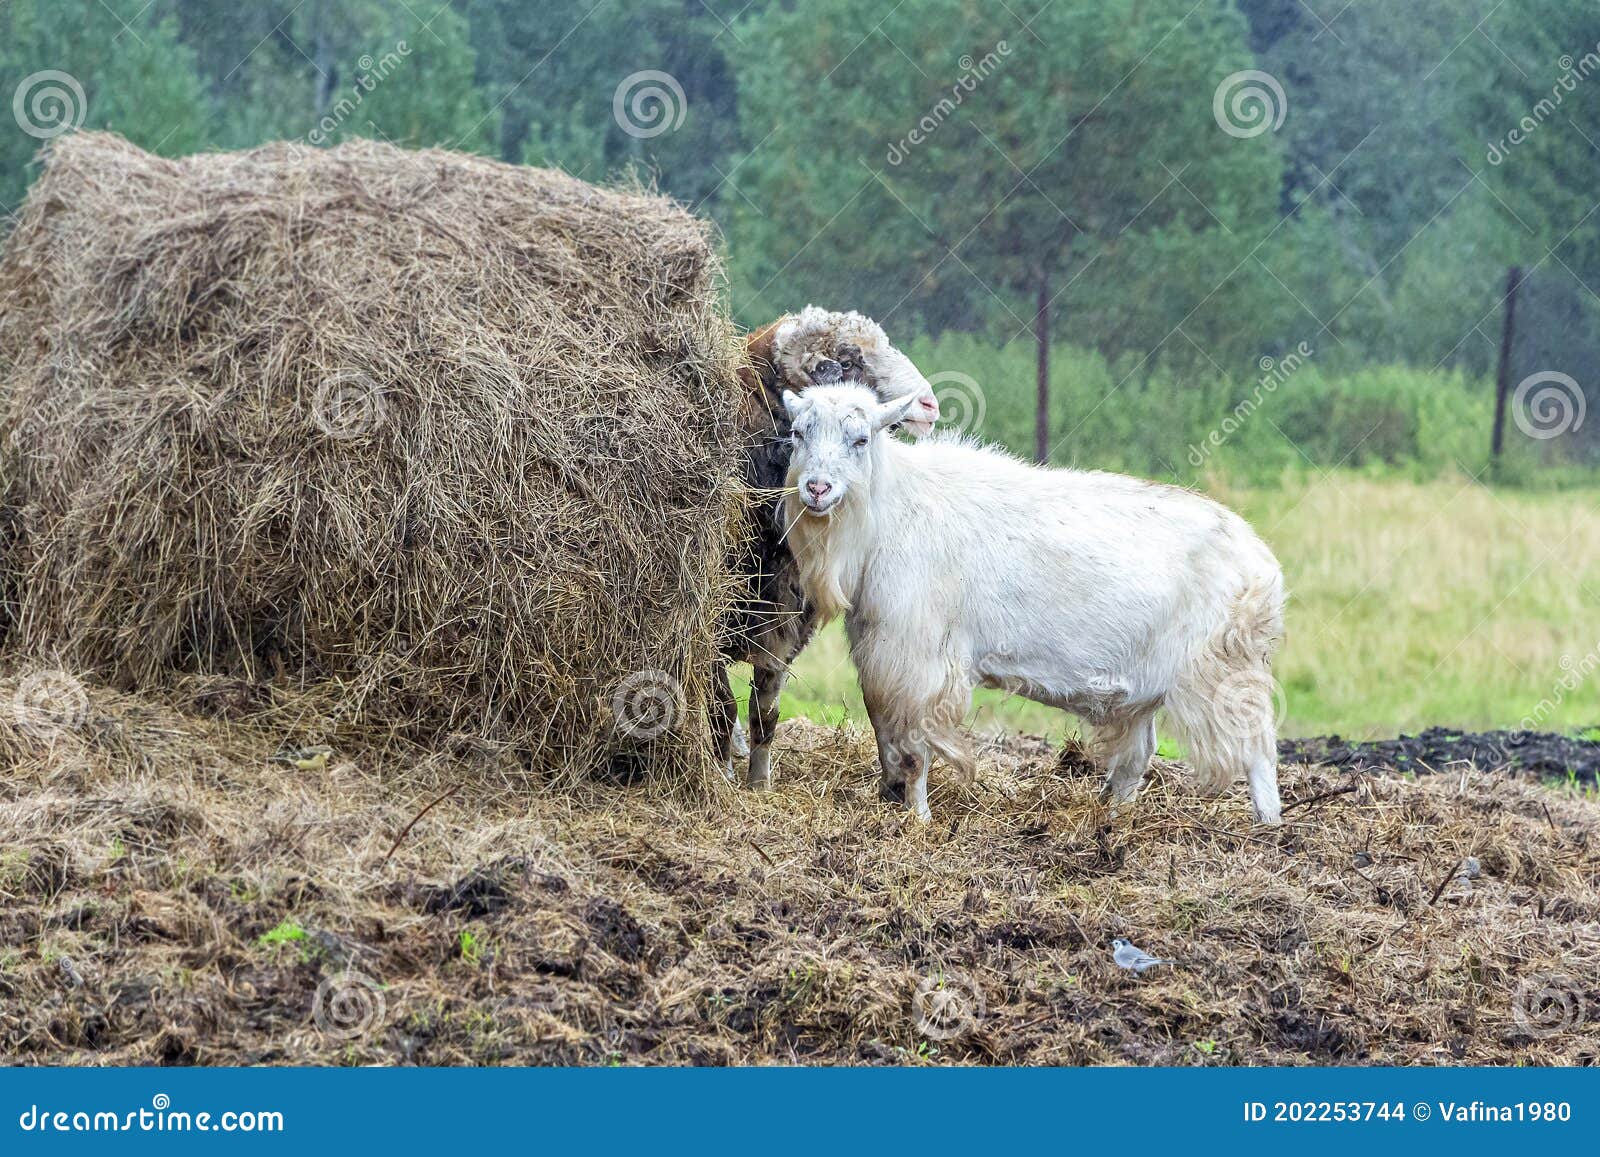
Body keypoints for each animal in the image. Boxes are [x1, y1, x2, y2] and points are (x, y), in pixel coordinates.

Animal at [712, 308, 939, 789]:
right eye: (848, 362)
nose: (928, 406)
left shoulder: (782, 621)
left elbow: (766, 713)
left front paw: (759, 784)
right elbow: (722, 707)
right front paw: (721, 776)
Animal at [779, 385, 1286, 825]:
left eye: (860, 439)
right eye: (798, 432)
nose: (817, 489)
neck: (891, 508)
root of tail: (1263, 564)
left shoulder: (920, 663)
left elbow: (915, 749)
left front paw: (919, 820)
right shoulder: (882, 658)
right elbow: (886, 737)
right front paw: (891, 802)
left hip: (1224, 668)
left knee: (1258, 749)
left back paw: (1269, 827)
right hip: (1148, 689)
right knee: (1135, 759)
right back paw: (1110, 816)